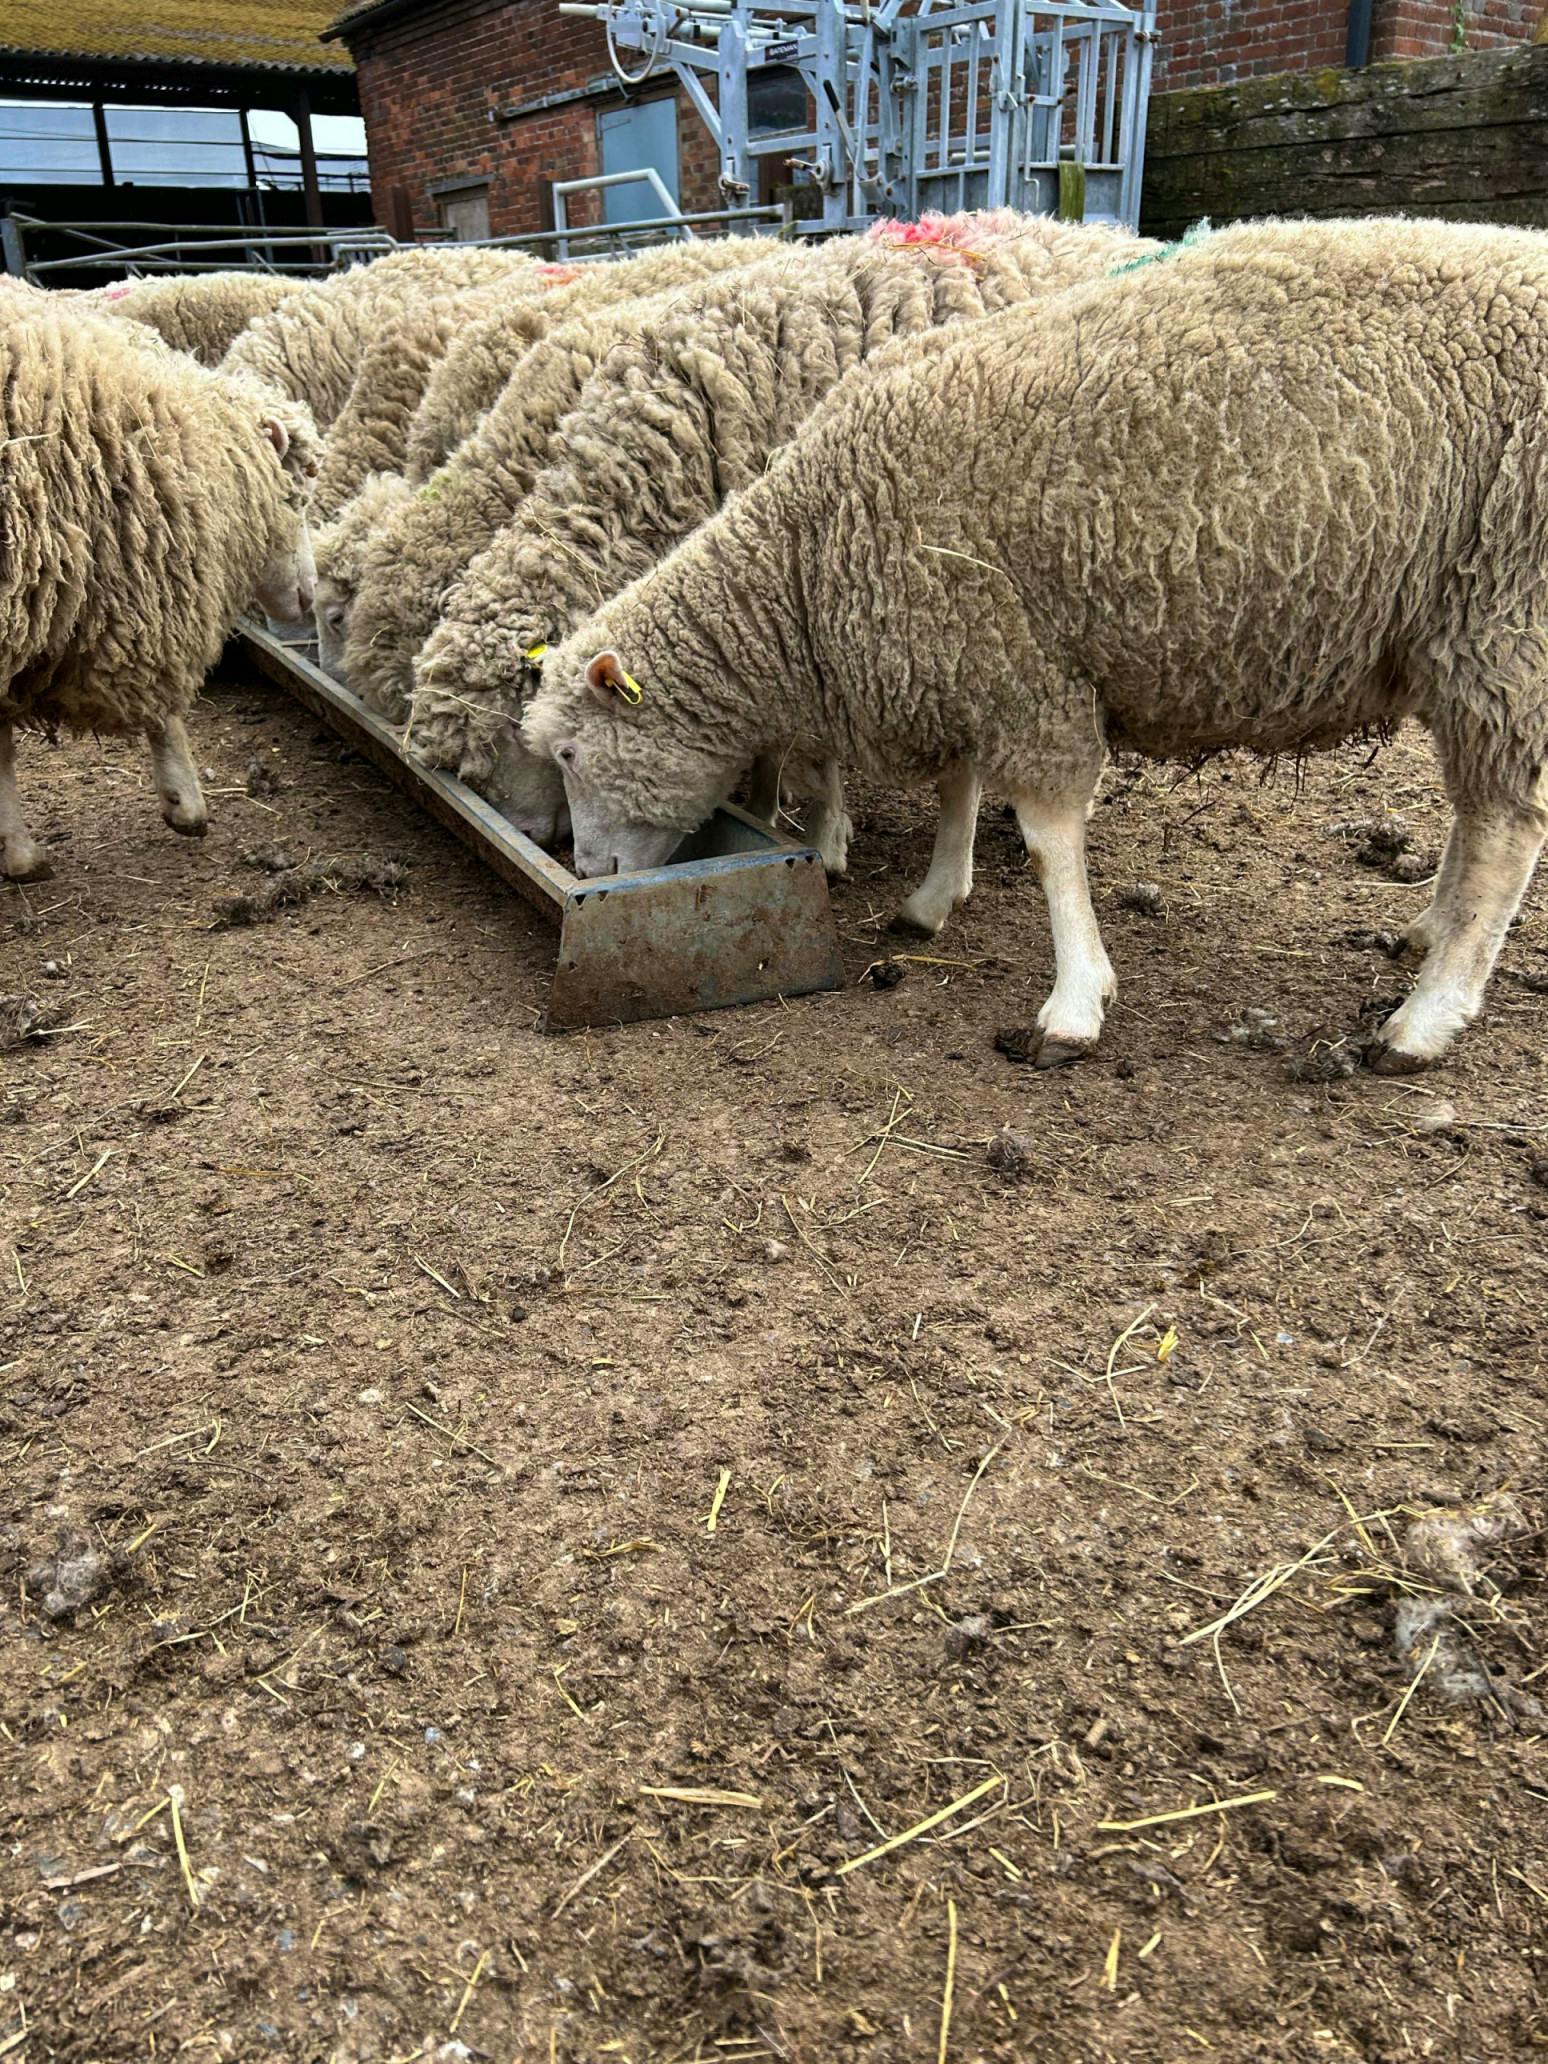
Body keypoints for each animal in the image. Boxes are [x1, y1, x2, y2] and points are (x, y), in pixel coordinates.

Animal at [0, 298, 320, 882]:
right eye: (295, 499)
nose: (310, 594)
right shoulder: (145, 593)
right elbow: (164, 710)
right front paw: (185, 803)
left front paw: (15, 851)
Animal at [407, 210, 1150, 867]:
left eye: (521, 738)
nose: (542, 841)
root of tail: (1105, 233)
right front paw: (767, 806)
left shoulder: (809, 581)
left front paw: (820, 834)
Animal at [522, 216, 1548, 1074]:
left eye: (569, 752)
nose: (586, 874)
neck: (802, 565)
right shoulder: (960, 657)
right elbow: (959, 785)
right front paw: (937, 898)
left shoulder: (1024, 668)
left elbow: (1052, 843)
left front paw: (1073, 1002)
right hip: (1464, 640)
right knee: (1476, 818)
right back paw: (1425, 930)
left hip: (1509, 623)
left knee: (1505, 833)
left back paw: (1424, 1019)